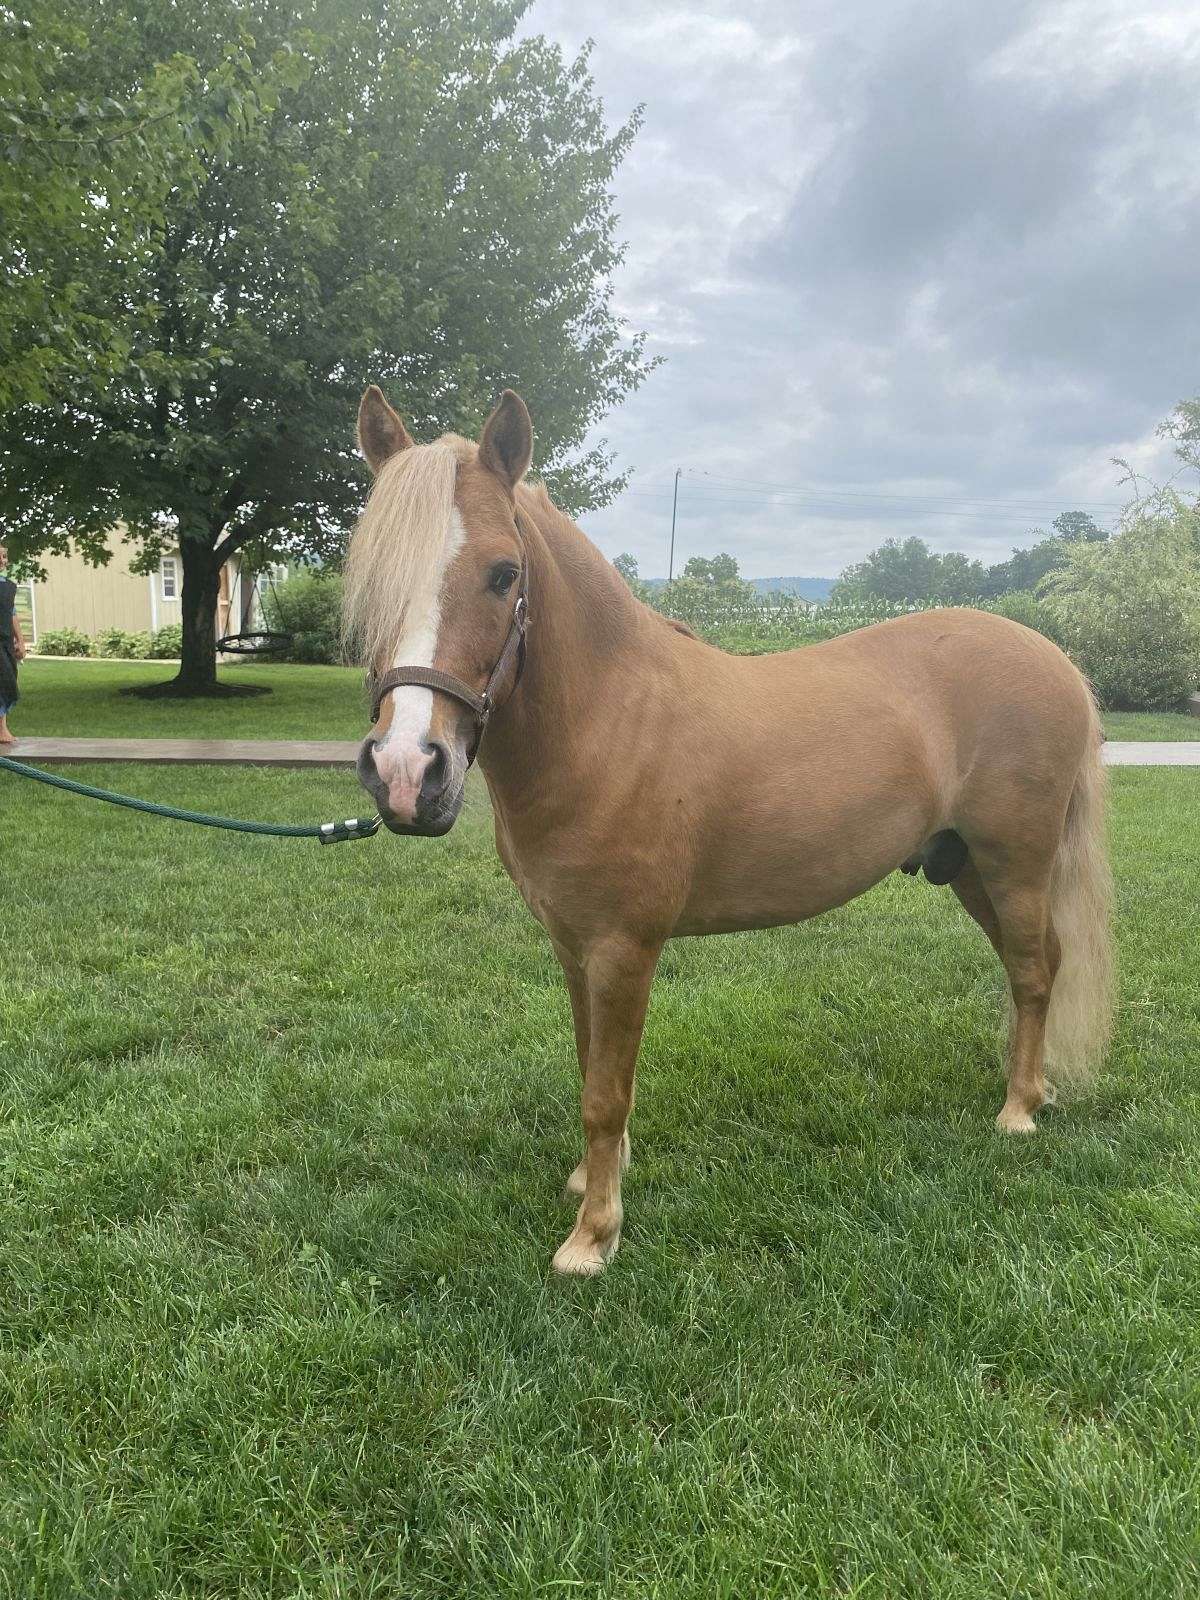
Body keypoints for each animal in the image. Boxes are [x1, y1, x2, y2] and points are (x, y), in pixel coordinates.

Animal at [345, 386, 1115, 1276]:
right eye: (368, 579)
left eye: (504, 574)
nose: (408, 773)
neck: (609, 721)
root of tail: (1056, 659)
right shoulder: (574, 946)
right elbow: (589, 1067)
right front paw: (592, 1181)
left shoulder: (623, 949)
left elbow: (606, 1093)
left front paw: (593, 1238)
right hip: (966, 869)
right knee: (1038, 966)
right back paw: (1036, 1091)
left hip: (1014, 864)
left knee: (1033, 971)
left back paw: (1018, 1111)